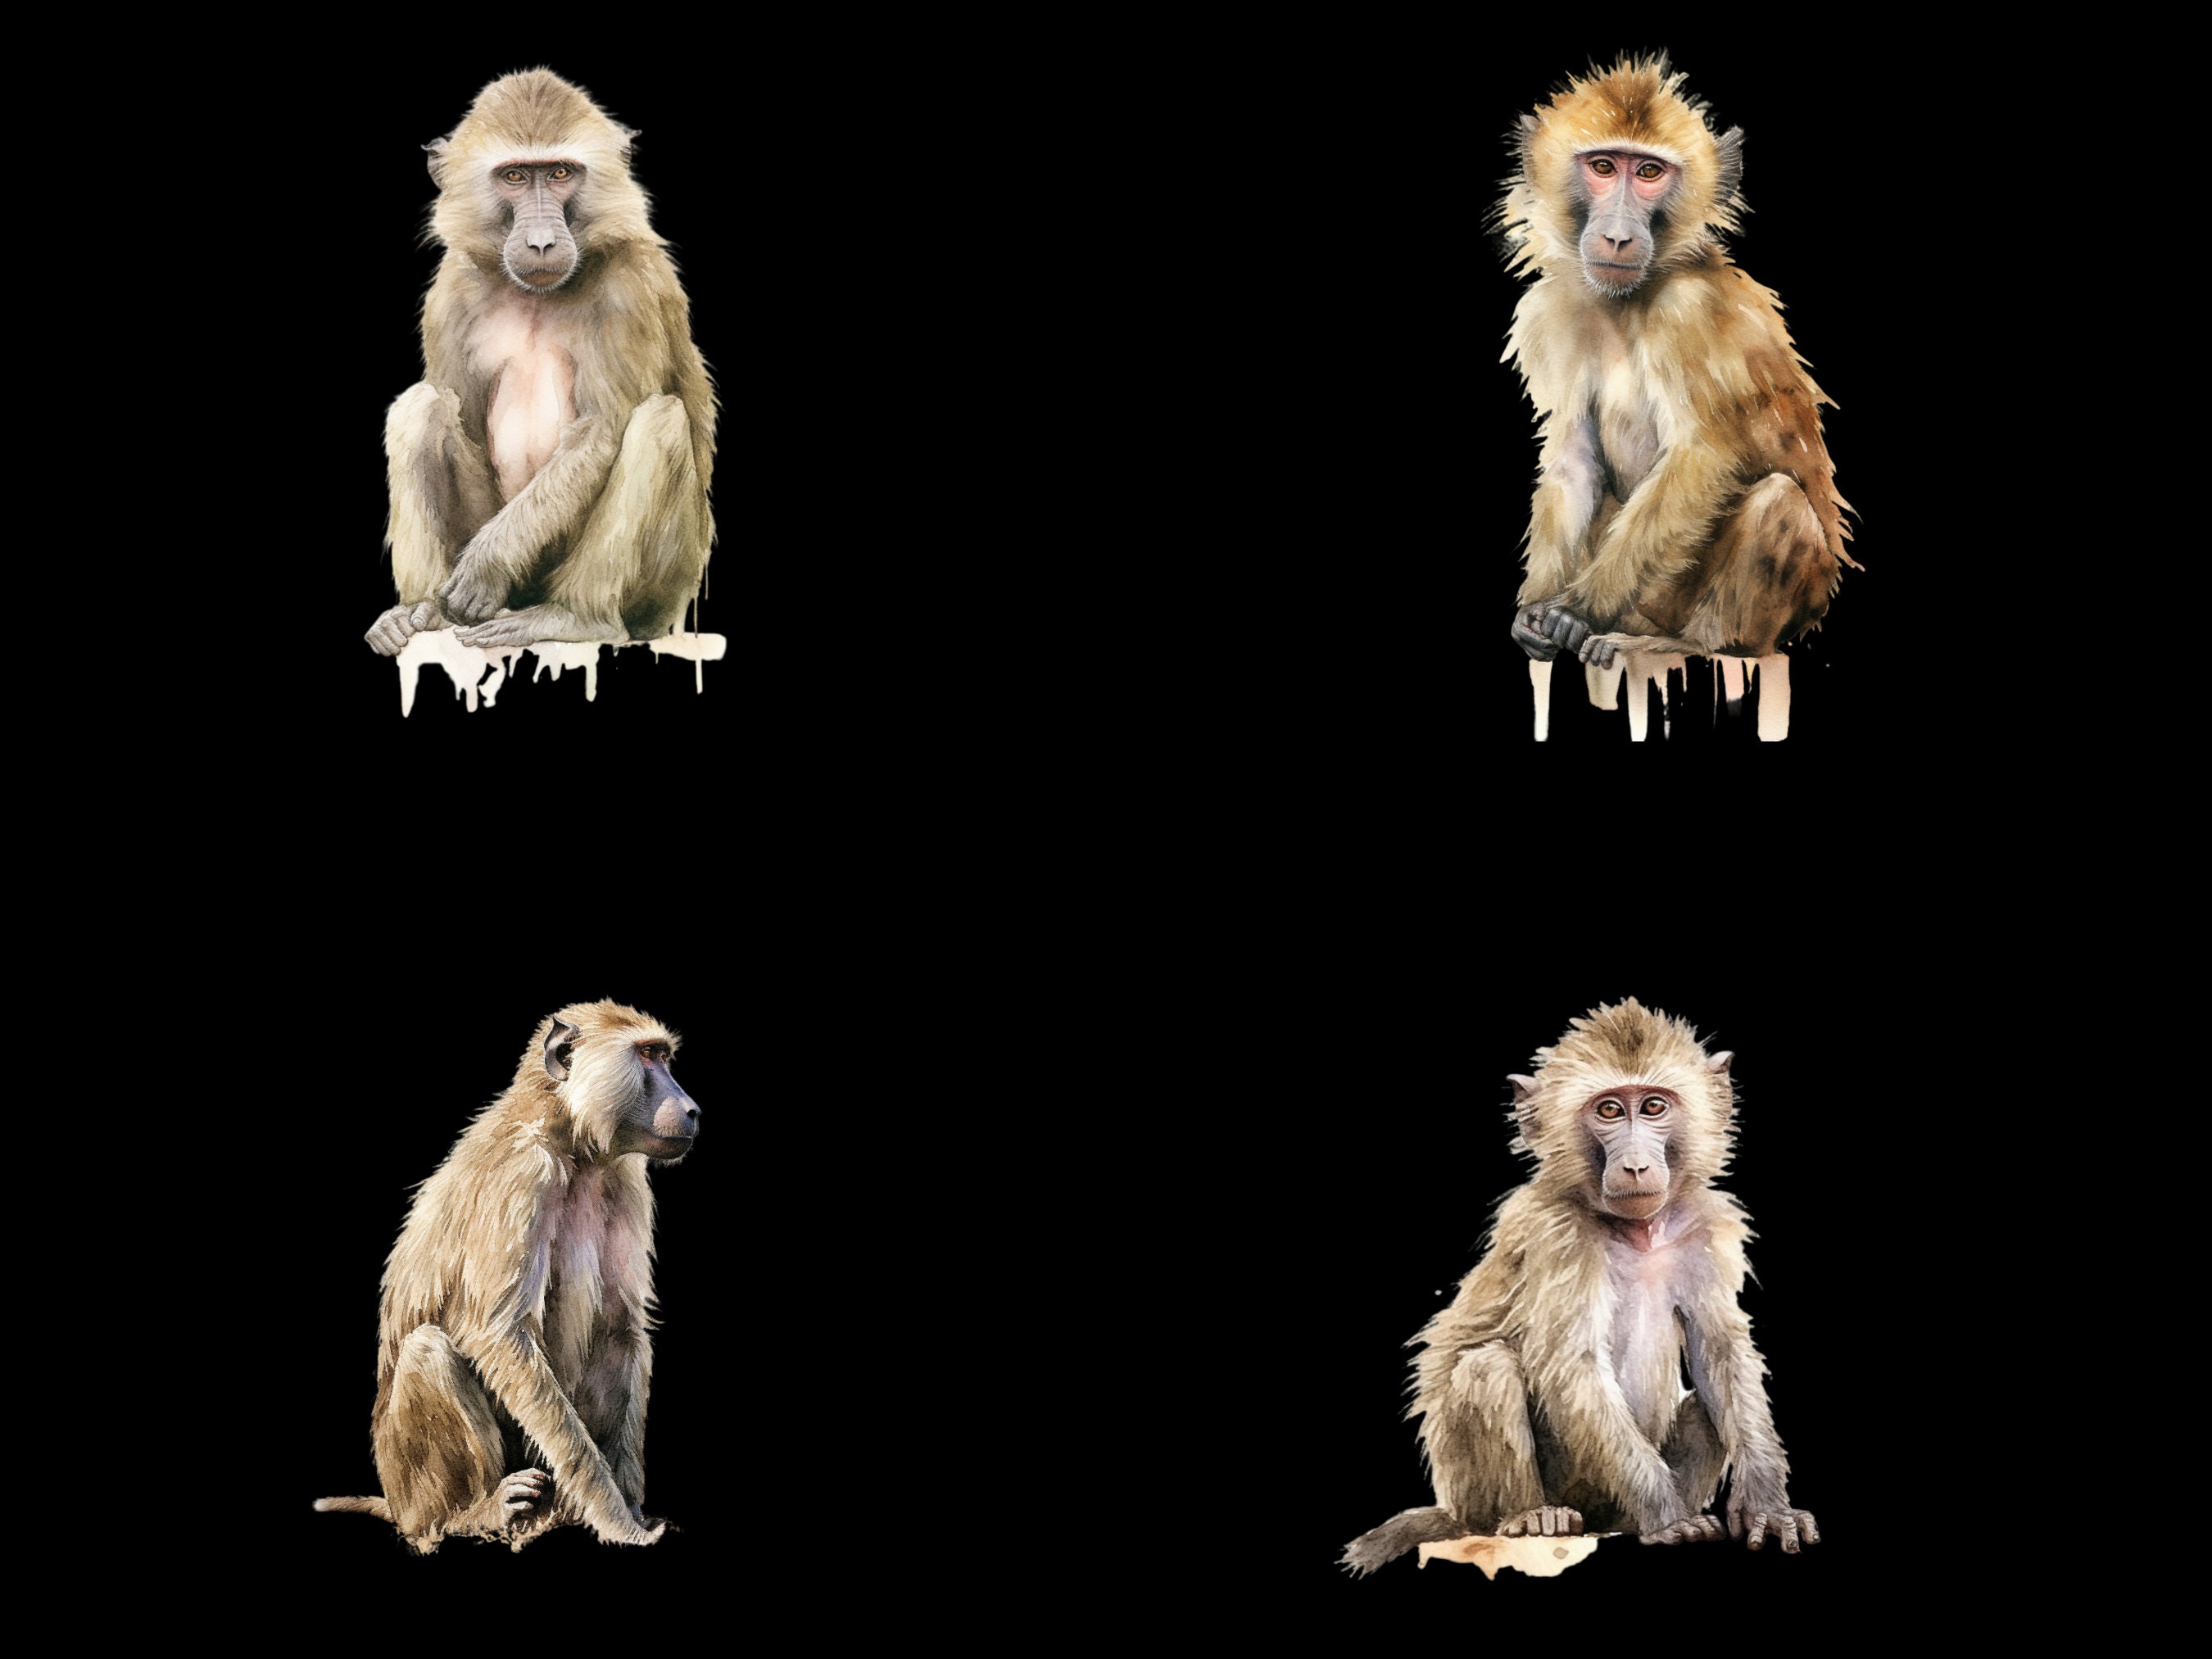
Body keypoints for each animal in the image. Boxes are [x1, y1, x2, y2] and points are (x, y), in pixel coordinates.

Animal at [314, 1001, 701, 1552]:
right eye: (648, 1055)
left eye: (664, 1056)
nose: (692, 1110)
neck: (566, 1136)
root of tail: (398, 1504)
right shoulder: (522, 1173)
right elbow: (501, 1335)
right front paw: (618, 1524)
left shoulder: (625, 1178)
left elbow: (621, 1330)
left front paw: (631, 1511)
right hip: (409, 1483)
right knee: (427, 1350)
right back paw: (474, 1515)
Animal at [364, 70, 717, 657]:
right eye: (513, 176)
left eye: (559, 173)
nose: (542, 242)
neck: (538, 295)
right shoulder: (451, 291)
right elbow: (452, 408)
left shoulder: (632, 290)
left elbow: (602, 430)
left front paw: (486, 566)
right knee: (421, 406)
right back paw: (419, 613)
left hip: (666, 586)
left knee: (658, 421)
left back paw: (578, 618)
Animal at [1341, 998, 1817, 1574]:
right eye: (1609, 1111)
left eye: (1653, 1106)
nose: (1635, 1164)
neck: (1637, 1232)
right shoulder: (1556, 1235)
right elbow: (1575, 1366)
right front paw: (1669, 1519)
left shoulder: (1704, 1227)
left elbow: (1720, 1353)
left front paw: (1769, 1508)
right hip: (1480, 1495)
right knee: (1487, 1368)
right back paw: (1532, 1517)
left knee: (1706, 1410)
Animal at [1497, 58, 1855, 726]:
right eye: (1603, 167)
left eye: (1649, 173)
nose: (1616, 237)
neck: (1627, 301)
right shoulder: (1555, 309)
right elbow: (1574, 461)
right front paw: (1535, 611)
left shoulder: (1688, 312)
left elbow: (1704, 456)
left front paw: (1573, 611)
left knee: (1777, 502)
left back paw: (1694, 643)